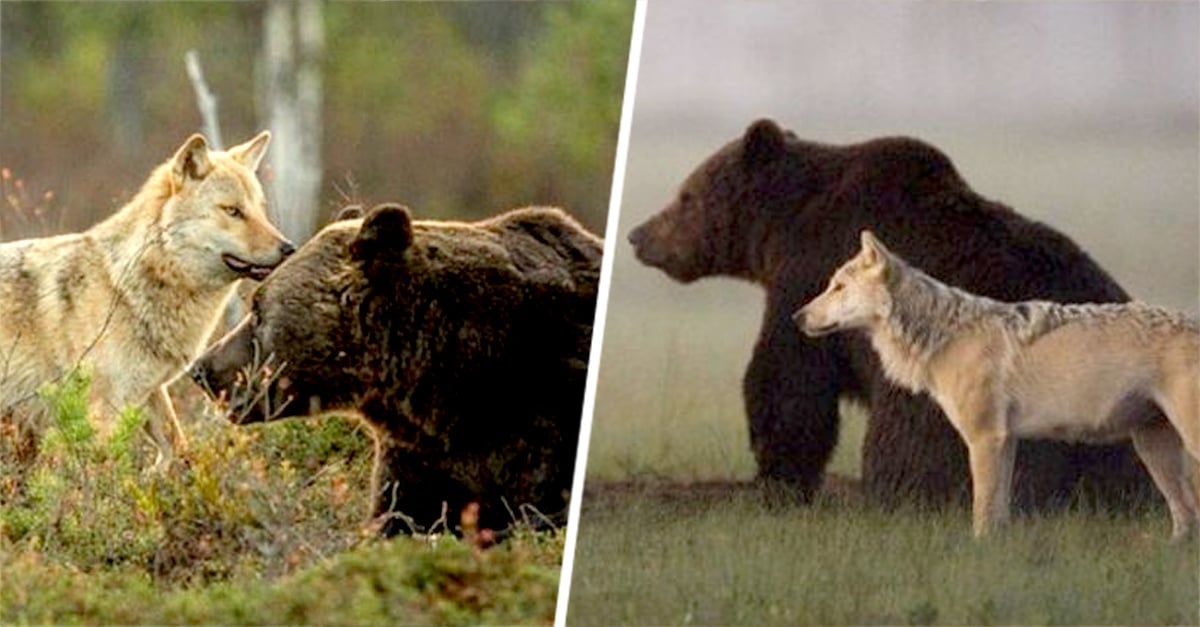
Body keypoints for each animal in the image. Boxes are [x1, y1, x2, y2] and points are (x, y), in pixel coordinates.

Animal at [190, 203, 602, 536]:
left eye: (258, 309)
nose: (201, 369)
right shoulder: (420, 455)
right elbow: (397, 516)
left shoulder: (543, 411)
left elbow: (538, 508)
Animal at [627, 118, 1156, 511]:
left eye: (686, 196)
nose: (638, 234)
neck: (782, 229)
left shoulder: (808, 276)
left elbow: (789, 381)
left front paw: (778, 480)